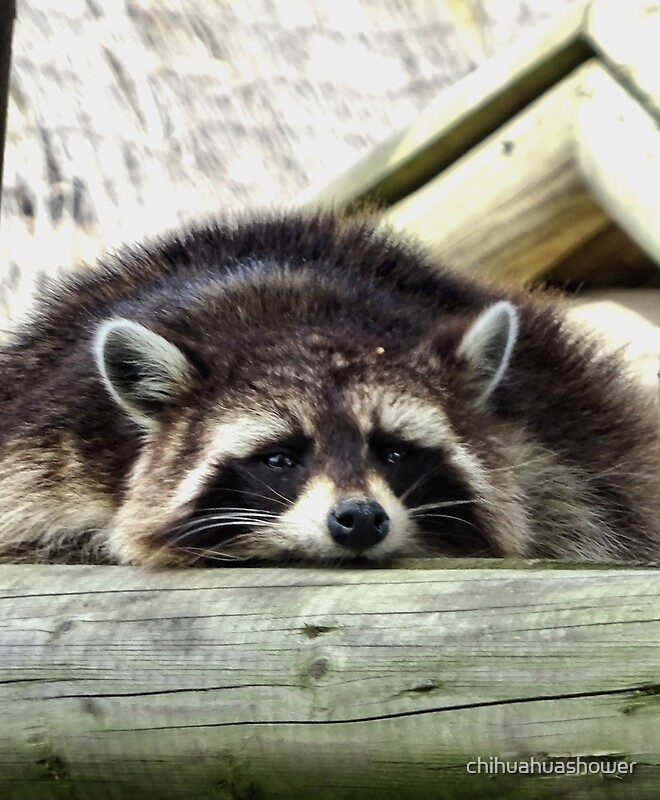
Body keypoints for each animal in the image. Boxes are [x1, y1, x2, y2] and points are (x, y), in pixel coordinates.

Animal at [0, 213, 658, 566]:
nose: (361, 520)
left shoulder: (559, 469)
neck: (297, 319)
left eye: (394, 451)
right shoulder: (49, 453)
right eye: (278, 457)